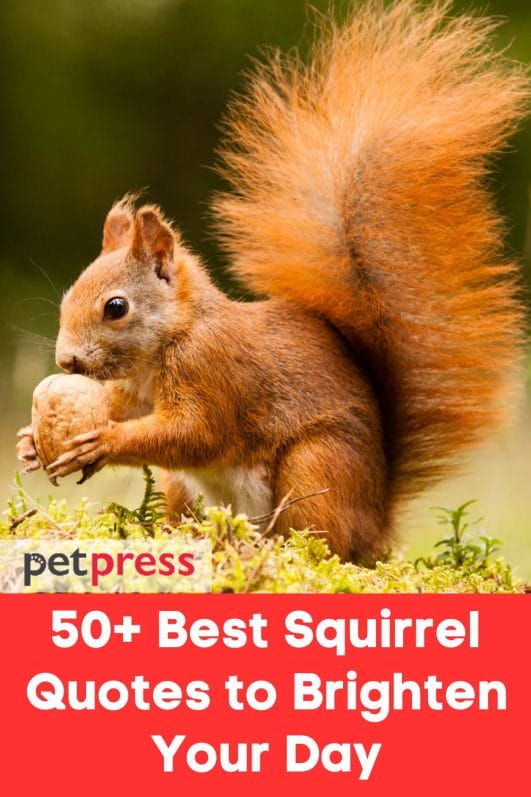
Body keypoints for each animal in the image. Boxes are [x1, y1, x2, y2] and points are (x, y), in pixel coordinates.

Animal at [16, 0, 529, 562]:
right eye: (67, 297)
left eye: (115, 307)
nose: (66, 361)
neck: (171, 340)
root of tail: (376, 523)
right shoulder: (133, 392)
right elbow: (121, 408)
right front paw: (29, 441)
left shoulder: (213, 372)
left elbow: (194, 434)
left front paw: (104, 442)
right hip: (186, 488)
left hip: (316, 467)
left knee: (320, 540)